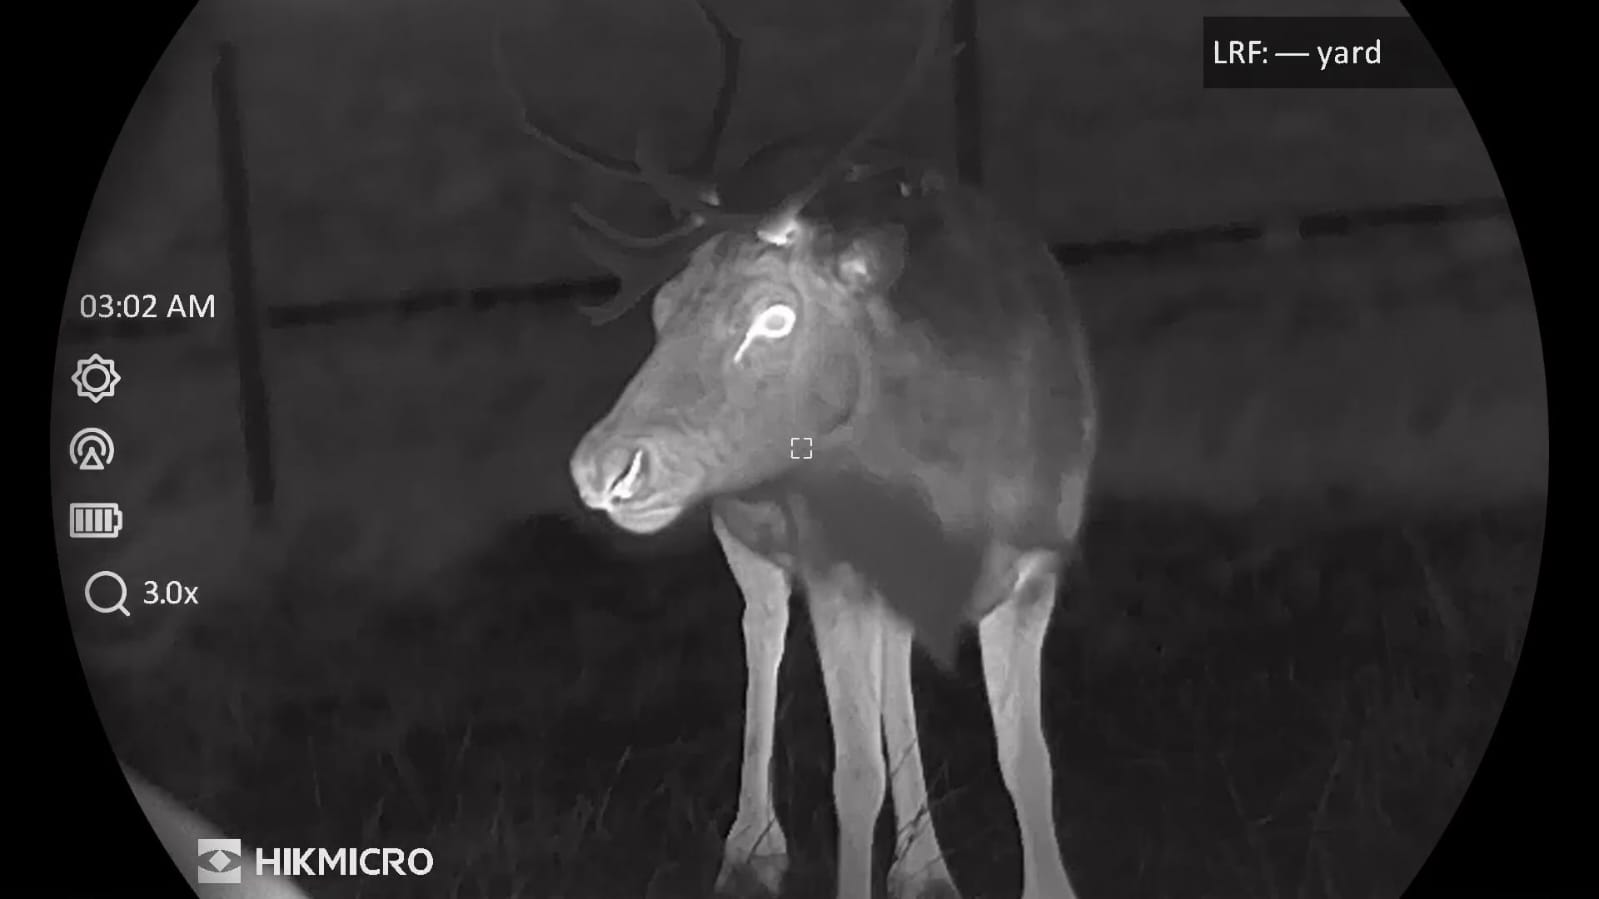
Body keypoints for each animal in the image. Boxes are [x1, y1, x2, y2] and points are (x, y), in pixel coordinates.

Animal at [500, 1, 1097, 897]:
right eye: (661, 310)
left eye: (775, 317)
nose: (602, 466)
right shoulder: (833, 566)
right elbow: (853, 776)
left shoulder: (1038, 563)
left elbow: (1030, 762)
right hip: (745, 523)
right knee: (762, 624)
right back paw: (752, 845)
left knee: (891, 667)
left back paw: (924, 866)